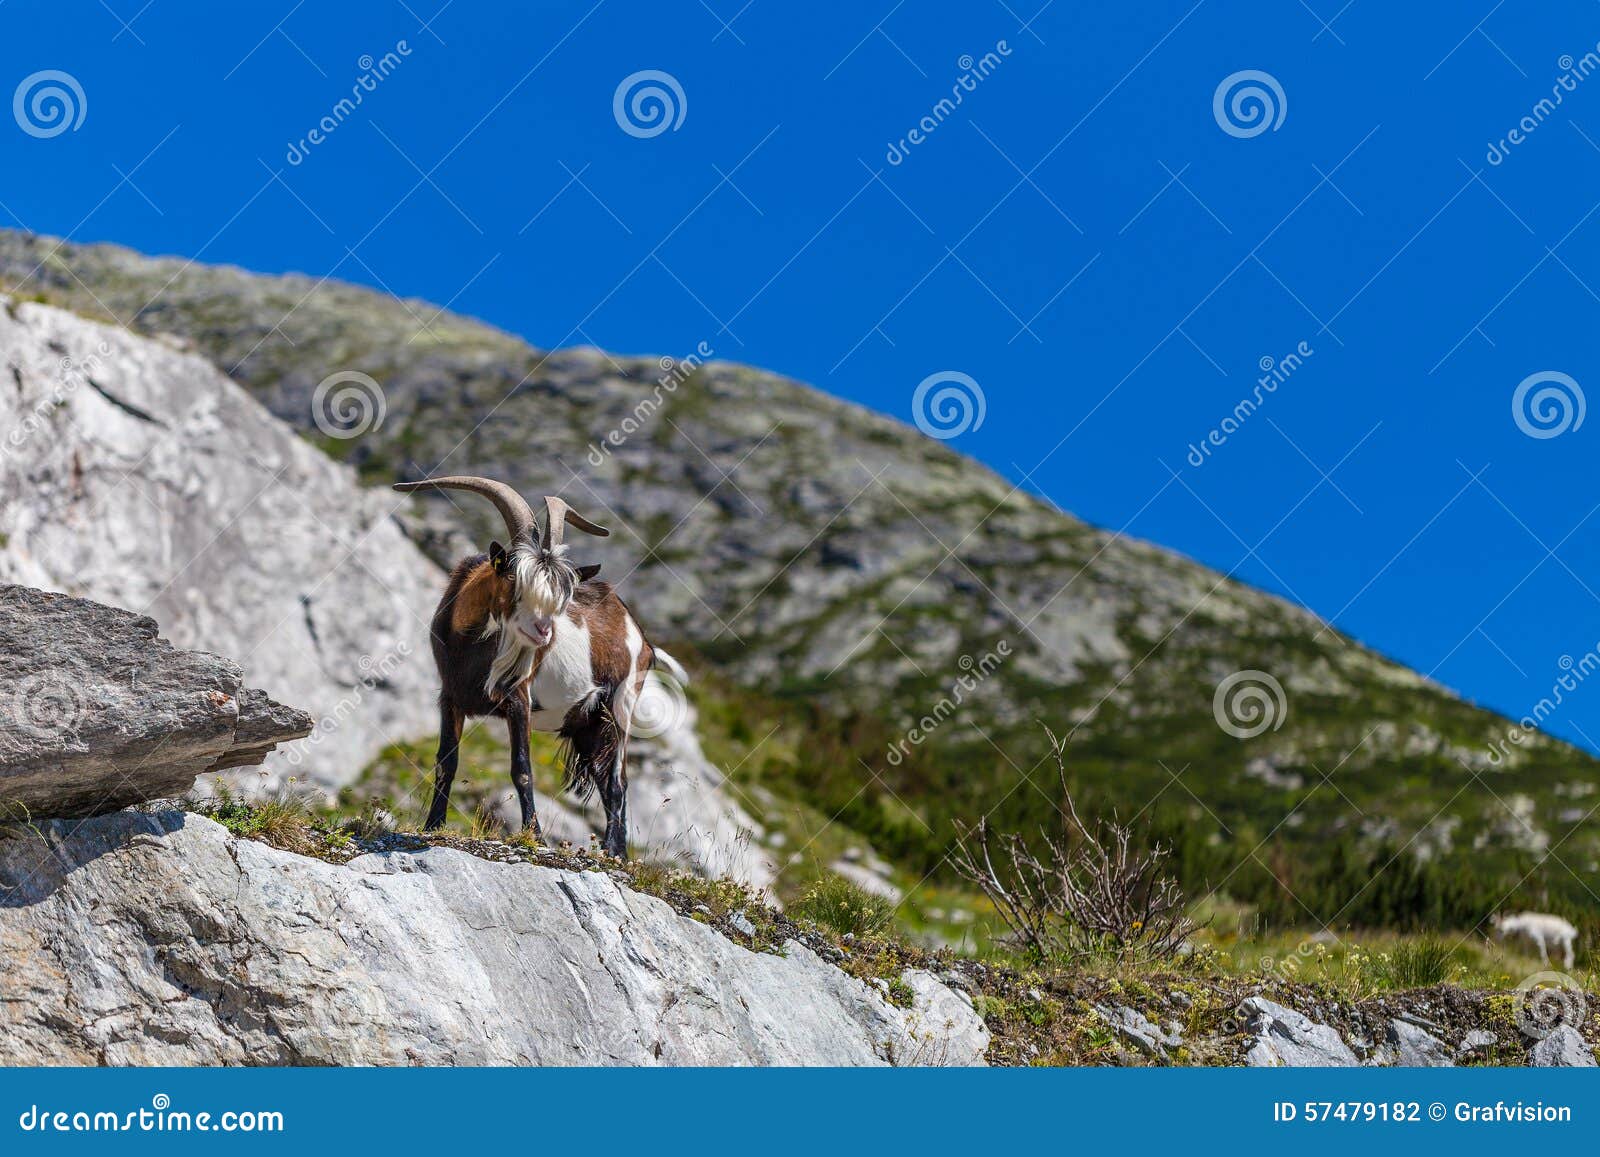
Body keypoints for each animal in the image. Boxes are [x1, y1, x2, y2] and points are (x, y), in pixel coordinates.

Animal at [394, 475, 687, 857]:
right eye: (514, 580)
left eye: (559, 592)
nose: (544, 631)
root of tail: (643, 639)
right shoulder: (450, 698)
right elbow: (446, 762)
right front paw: (433, 825)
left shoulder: (518, 698)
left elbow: (522, 768)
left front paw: (535, 836)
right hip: (587, 724)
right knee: (604, 776)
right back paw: (618, 852)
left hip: (620, 705)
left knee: (617, 780)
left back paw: (613, 853)